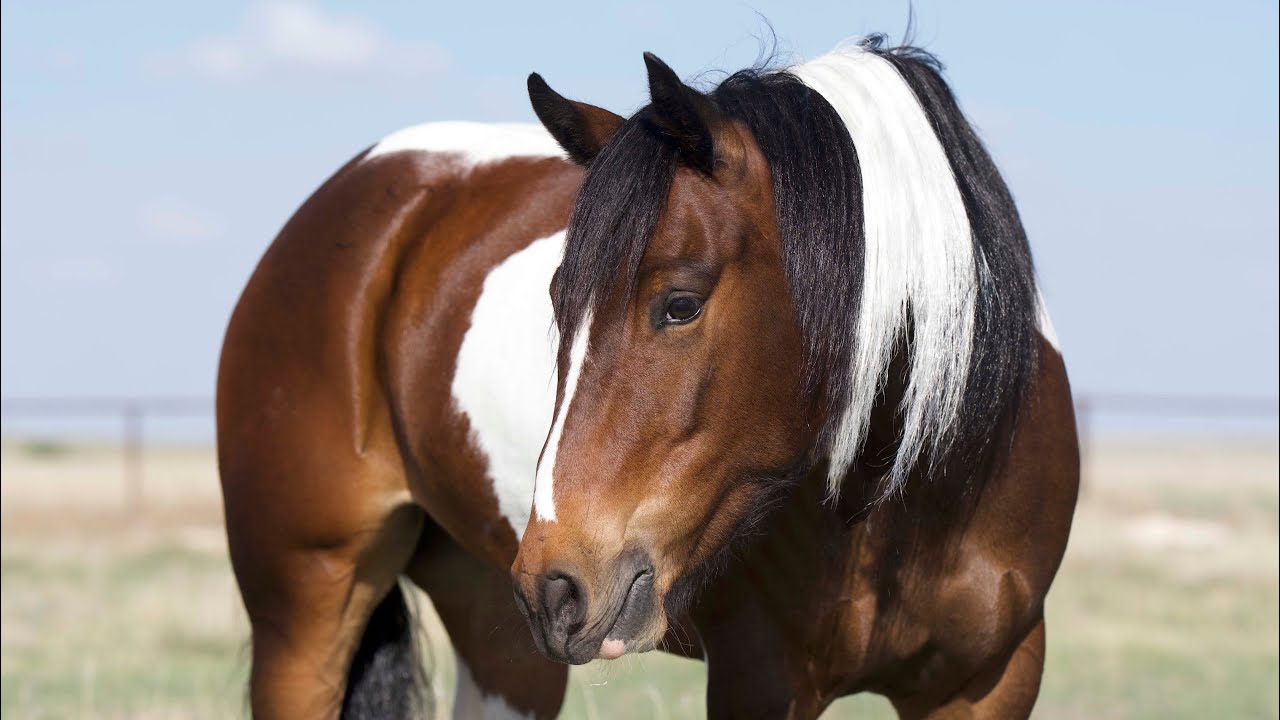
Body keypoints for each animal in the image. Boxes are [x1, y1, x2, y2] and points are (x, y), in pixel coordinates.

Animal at [217, 37, 1078, 719]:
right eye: (557, 301)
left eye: (680, 304)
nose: (557, 586)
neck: (906, 505)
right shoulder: (758, 681)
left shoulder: (990, 683)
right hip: (305, 607)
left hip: (500, 632)